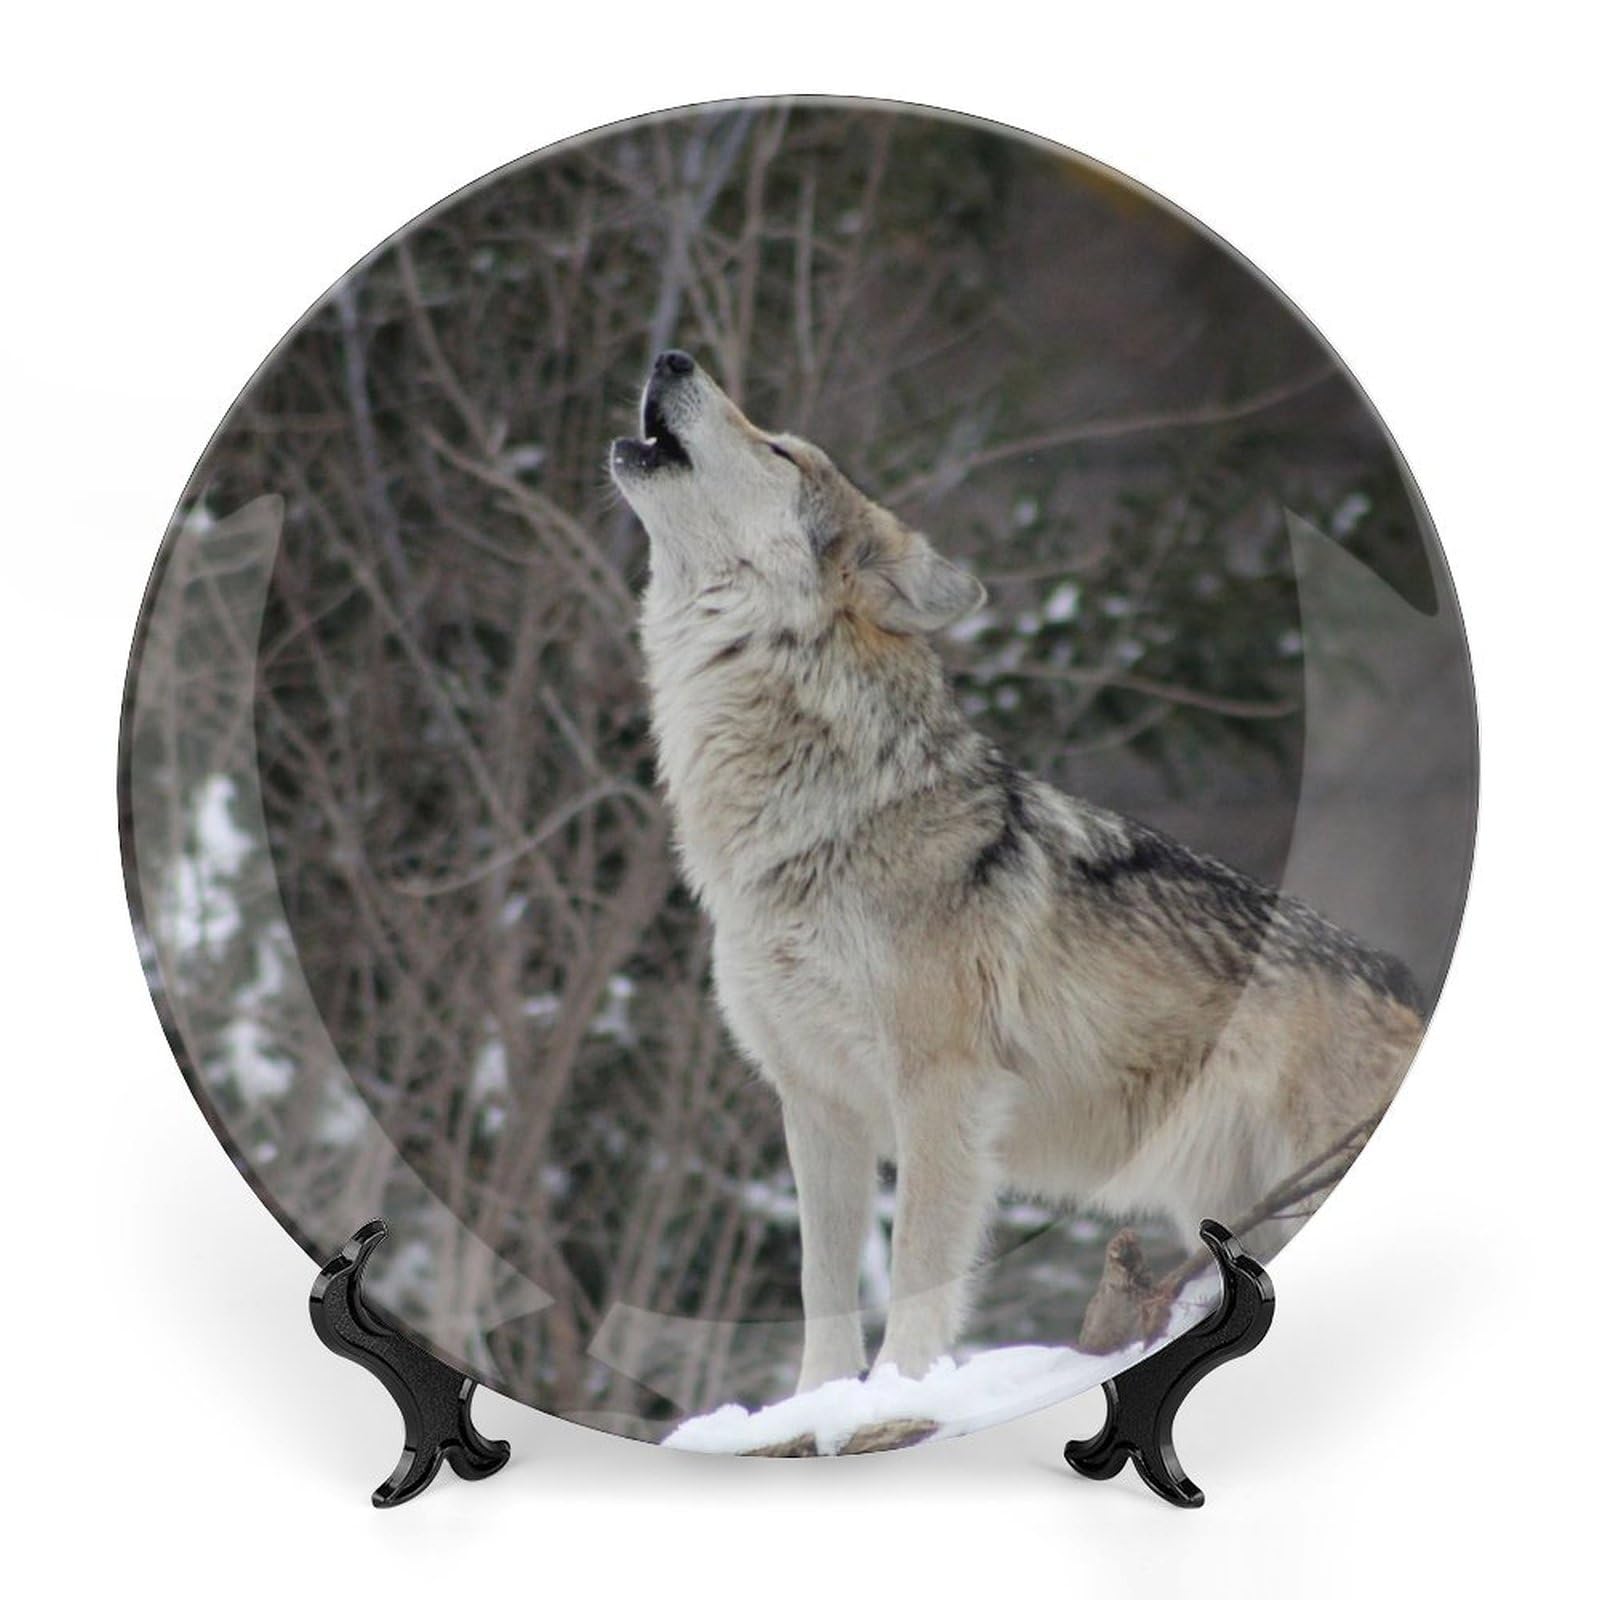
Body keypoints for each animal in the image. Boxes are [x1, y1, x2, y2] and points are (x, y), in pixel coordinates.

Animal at [611, 349, 1423, 1391]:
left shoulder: (942, 1090)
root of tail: (1408, 986)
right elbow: (821, 1286)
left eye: (781, 450)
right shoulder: (817, 1103)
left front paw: (899, 1394)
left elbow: (917, 1266)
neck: (817, 822)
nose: (671, 357)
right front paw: (818, 1405)